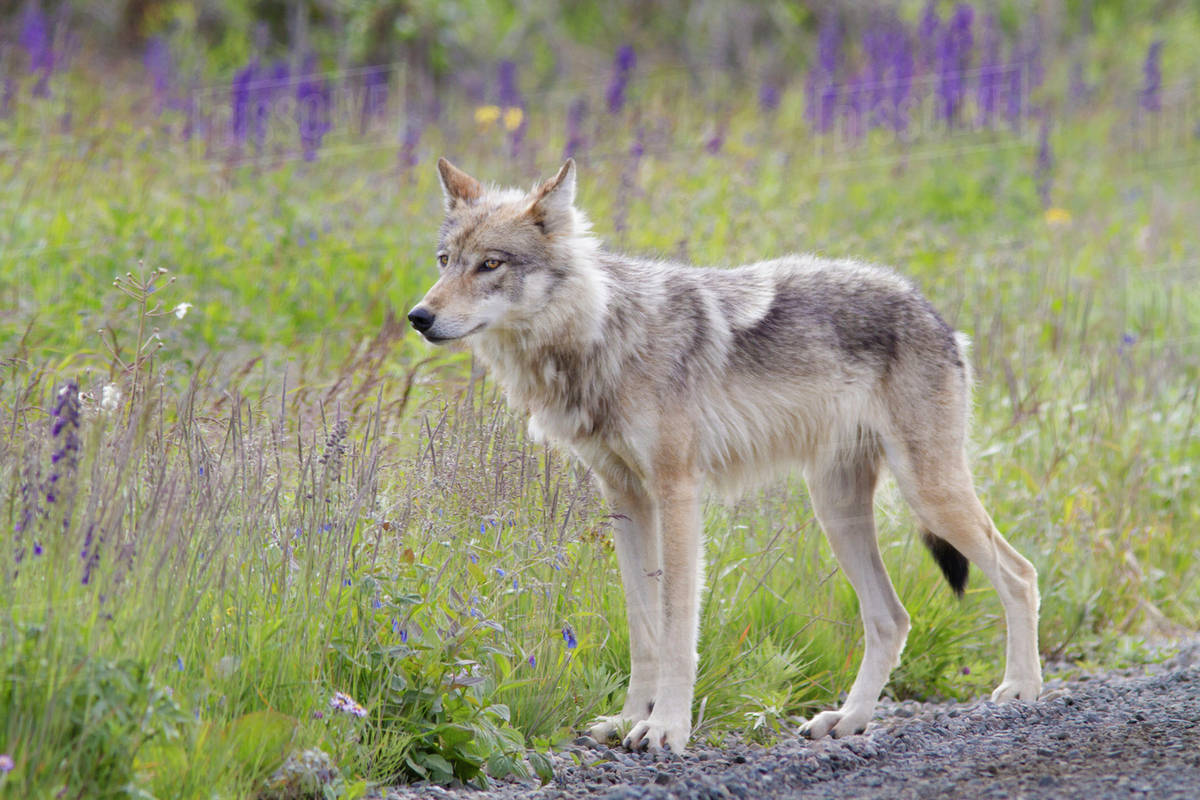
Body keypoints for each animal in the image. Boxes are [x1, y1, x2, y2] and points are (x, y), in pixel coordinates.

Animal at [408, 157, 1042, 752]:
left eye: (490, 264)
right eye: (444, 260)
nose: (419, 317)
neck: (602, 336)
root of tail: (932, 310)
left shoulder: (677, 491)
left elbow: (675, 629)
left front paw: (666, 728)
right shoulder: (624, 498)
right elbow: (643, 627)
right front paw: (629, 719)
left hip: (928, 495)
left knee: (1020, 574)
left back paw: (1021, 689)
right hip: (838, 512)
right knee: (892, 618)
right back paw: (847, 719)